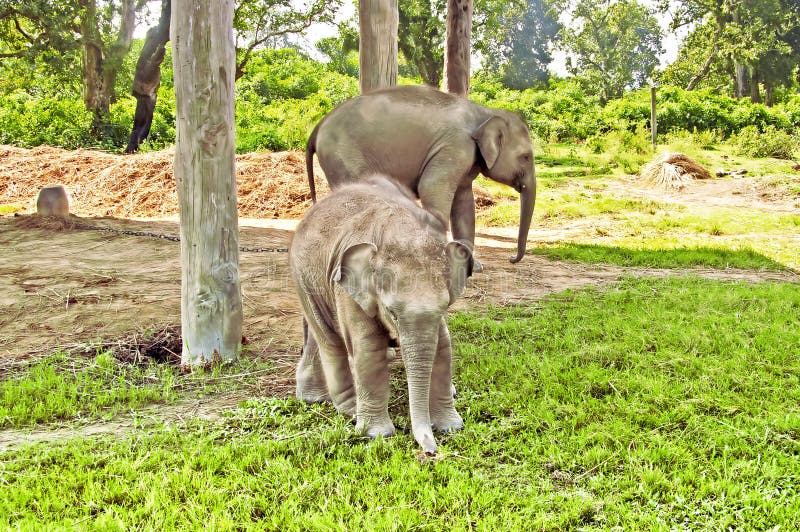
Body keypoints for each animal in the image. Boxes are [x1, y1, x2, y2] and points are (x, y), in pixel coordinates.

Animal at [290, 174, 472, 454]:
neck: (400, 229)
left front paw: (451, 427)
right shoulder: (348, 291)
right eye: (392, 312)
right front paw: (377, 434)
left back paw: (316, 398)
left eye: (445, 306)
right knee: (329, 341)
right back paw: (349, 409)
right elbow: (368, 349)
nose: (431, 452)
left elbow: (443, 347)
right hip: (304, 277)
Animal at [306, 84, 537, 265]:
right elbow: (431, 188)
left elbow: (463, 204)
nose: (512, 259)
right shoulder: (455, 147)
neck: (486, 112)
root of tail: (318, 126)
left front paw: (471, 265)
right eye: (526, 157)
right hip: (342, 155)